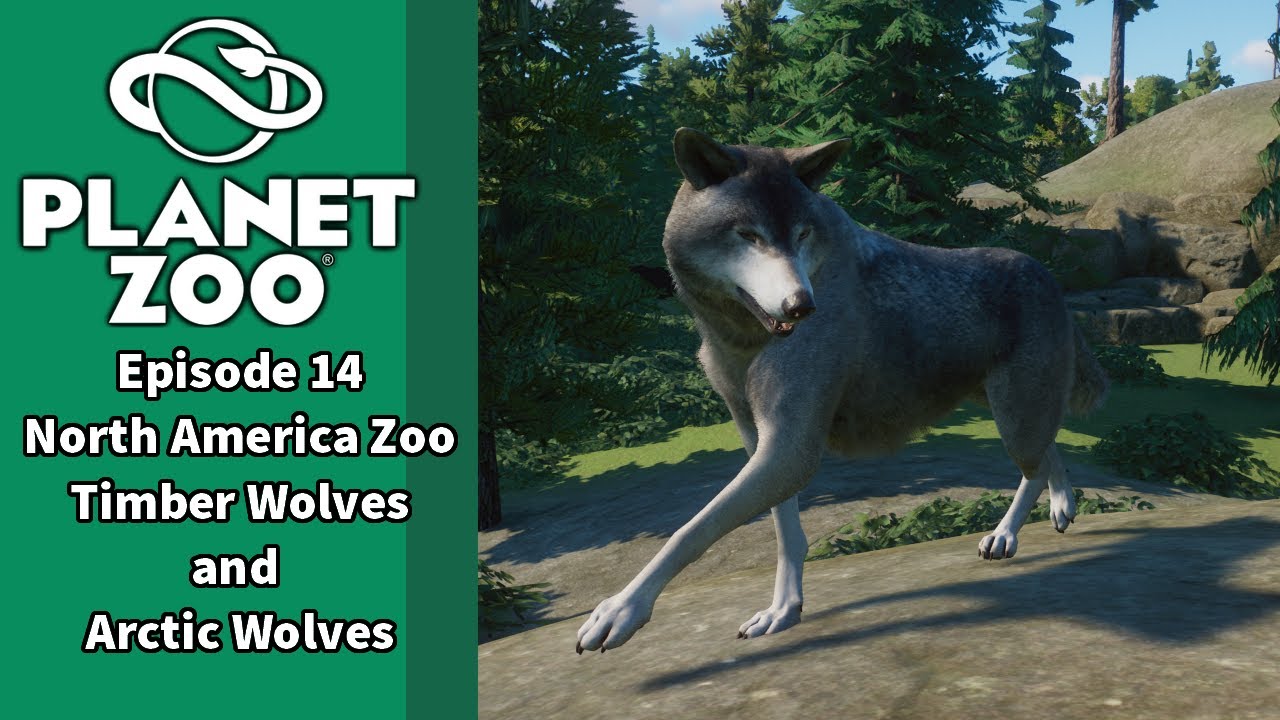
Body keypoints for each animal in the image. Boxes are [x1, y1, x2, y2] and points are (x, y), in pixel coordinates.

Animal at [575, 128, 1109, 653]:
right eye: (748, 236)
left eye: (802, 234)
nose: (802, 306)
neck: (739, 340)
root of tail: (1048, 276)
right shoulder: (758, 436)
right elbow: (783, 531)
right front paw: (782, 610)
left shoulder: (792, 448)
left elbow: (692, 529)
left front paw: (620, 611)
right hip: (1004, 408)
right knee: (1049, 450)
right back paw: (1062, 507)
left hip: (1012, 417)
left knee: (1033, 466)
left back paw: (1005, 536)